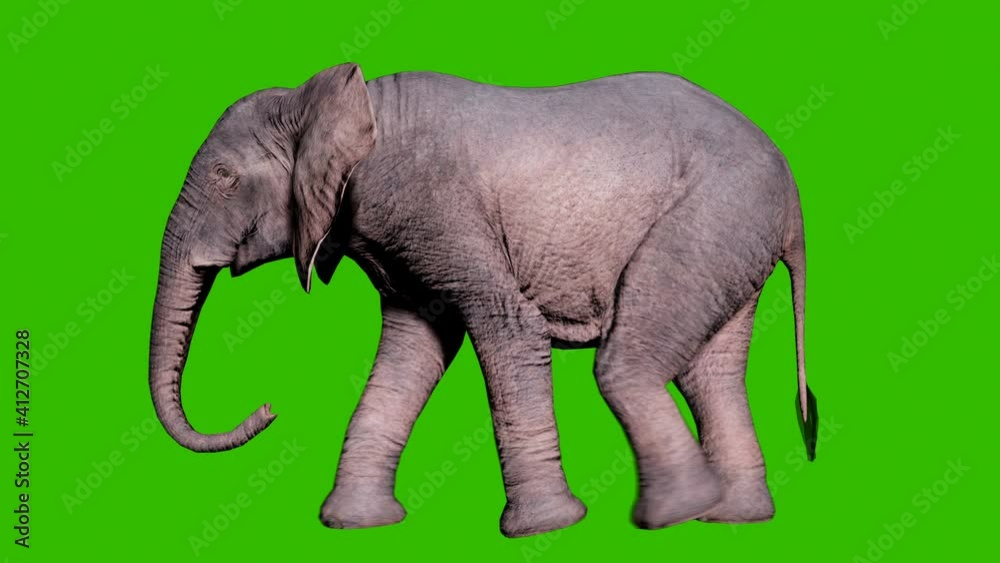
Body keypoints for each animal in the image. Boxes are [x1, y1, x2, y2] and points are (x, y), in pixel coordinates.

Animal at [149, 62, 818, 538]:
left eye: (225, 178)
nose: (269, 409)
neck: (342, 101)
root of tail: (791, 188)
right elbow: (409, 355)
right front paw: (356, 526)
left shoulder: (433, 206)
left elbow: (510, 325)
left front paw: (545, 530)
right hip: (732, 235)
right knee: (711, 373)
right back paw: (729, 516)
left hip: (716, 213)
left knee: (629, 366)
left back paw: (676, 513)